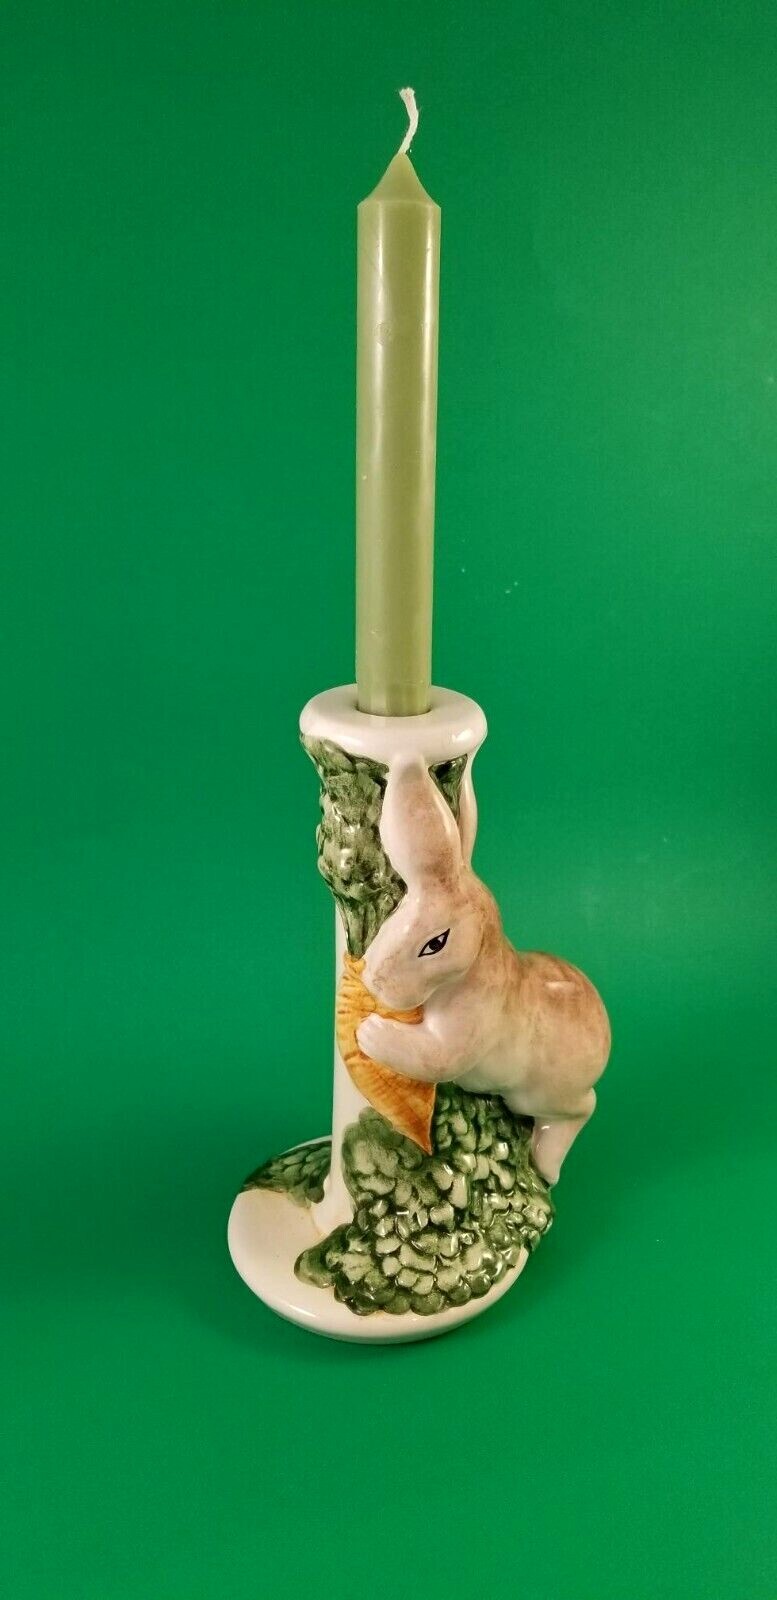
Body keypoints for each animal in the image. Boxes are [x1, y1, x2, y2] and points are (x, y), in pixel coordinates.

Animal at [355, 754, 611, 1185]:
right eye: (399, 912)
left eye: (436, 943)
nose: (374, 981)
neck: (474, 968)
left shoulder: (464, 1033)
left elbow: (434, 1057)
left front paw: (370, 1032)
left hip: (540, 1094)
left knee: (585, 1108)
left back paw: (547, 1164)